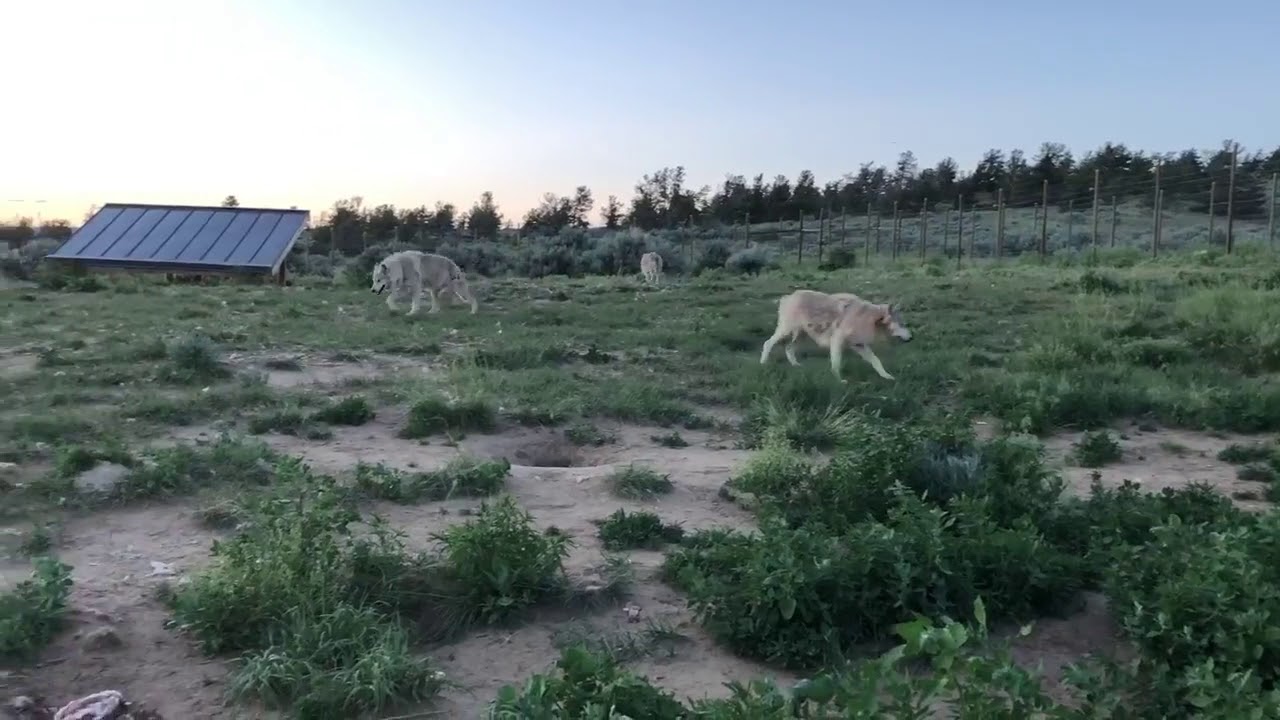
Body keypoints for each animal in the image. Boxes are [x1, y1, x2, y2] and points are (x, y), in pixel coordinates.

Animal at [759, 289, 913, 382]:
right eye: (903, 324)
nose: (912, 338)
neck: (870, 318)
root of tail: (788, 297)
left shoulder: (859, 345)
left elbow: (876, 361)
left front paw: (887, 376)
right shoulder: (837, 341)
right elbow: (836, 363)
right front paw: (839, 380)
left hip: (801, 336)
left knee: (788, 348)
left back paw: (796, 365)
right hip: (786, 331)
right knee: (768, 343)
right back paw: (763, 363)